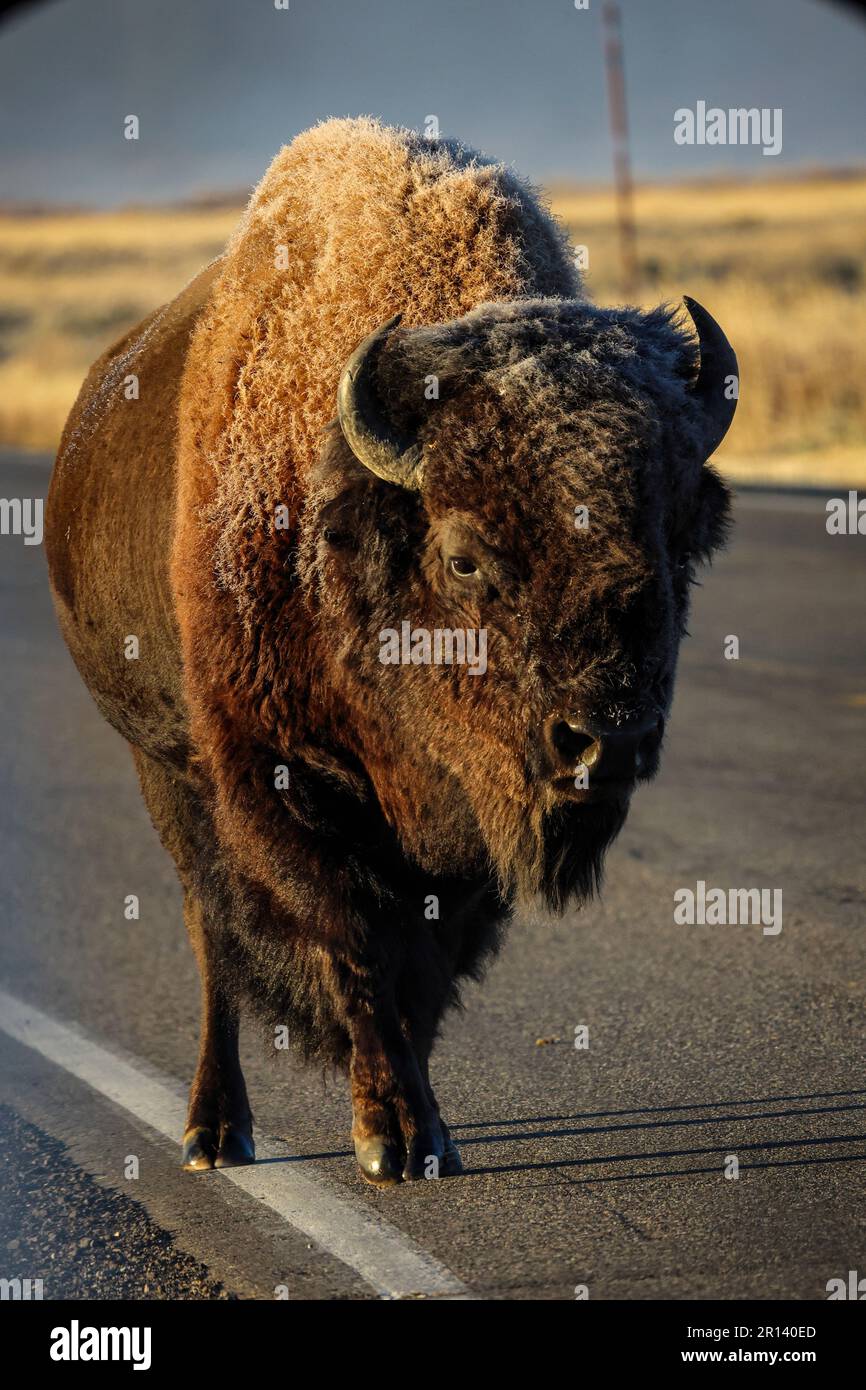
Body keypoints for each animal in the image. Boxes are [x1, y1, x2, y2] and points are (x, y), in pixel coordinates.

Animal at [45, 118, 737, 1185]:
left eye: (673, 537)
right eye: (463, 556)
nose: (606, 742)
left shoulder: (465, 832)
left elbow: (422, 967)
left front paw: (428, 1129)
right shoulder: (283, 779)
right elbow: (353, 941)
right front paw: (391, 1138)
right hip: (163, 765)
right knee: (213, 939)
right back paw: (215, 1130)